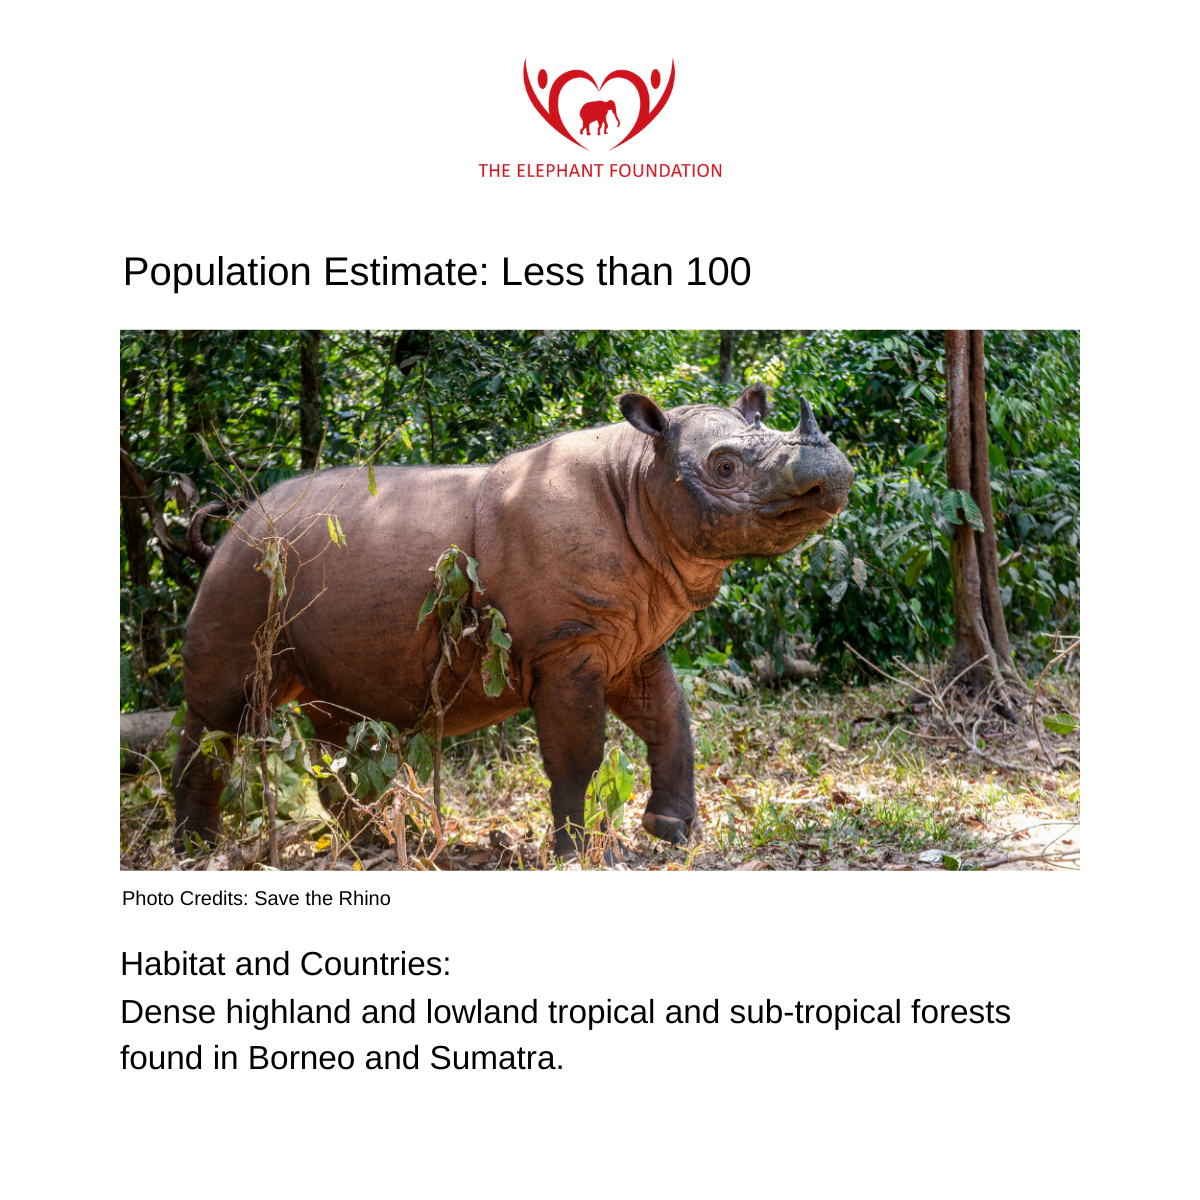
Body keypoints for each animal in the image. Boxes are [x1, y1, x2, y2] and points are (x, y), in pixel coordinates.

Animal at [172, 383, 854, 859]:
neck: (642, 471)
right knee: (219, 715)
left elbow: (670, 718)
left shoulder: (631, 638)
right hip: (246, 573)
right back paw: (197, 851)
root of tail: (234, 528)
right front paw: (582, 854)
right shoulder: (566, 641)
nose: (834, 479)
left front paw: (674, 833)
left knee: (336, 724)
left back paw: (376, 844)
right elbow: (578, 751)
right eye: (724, 467)